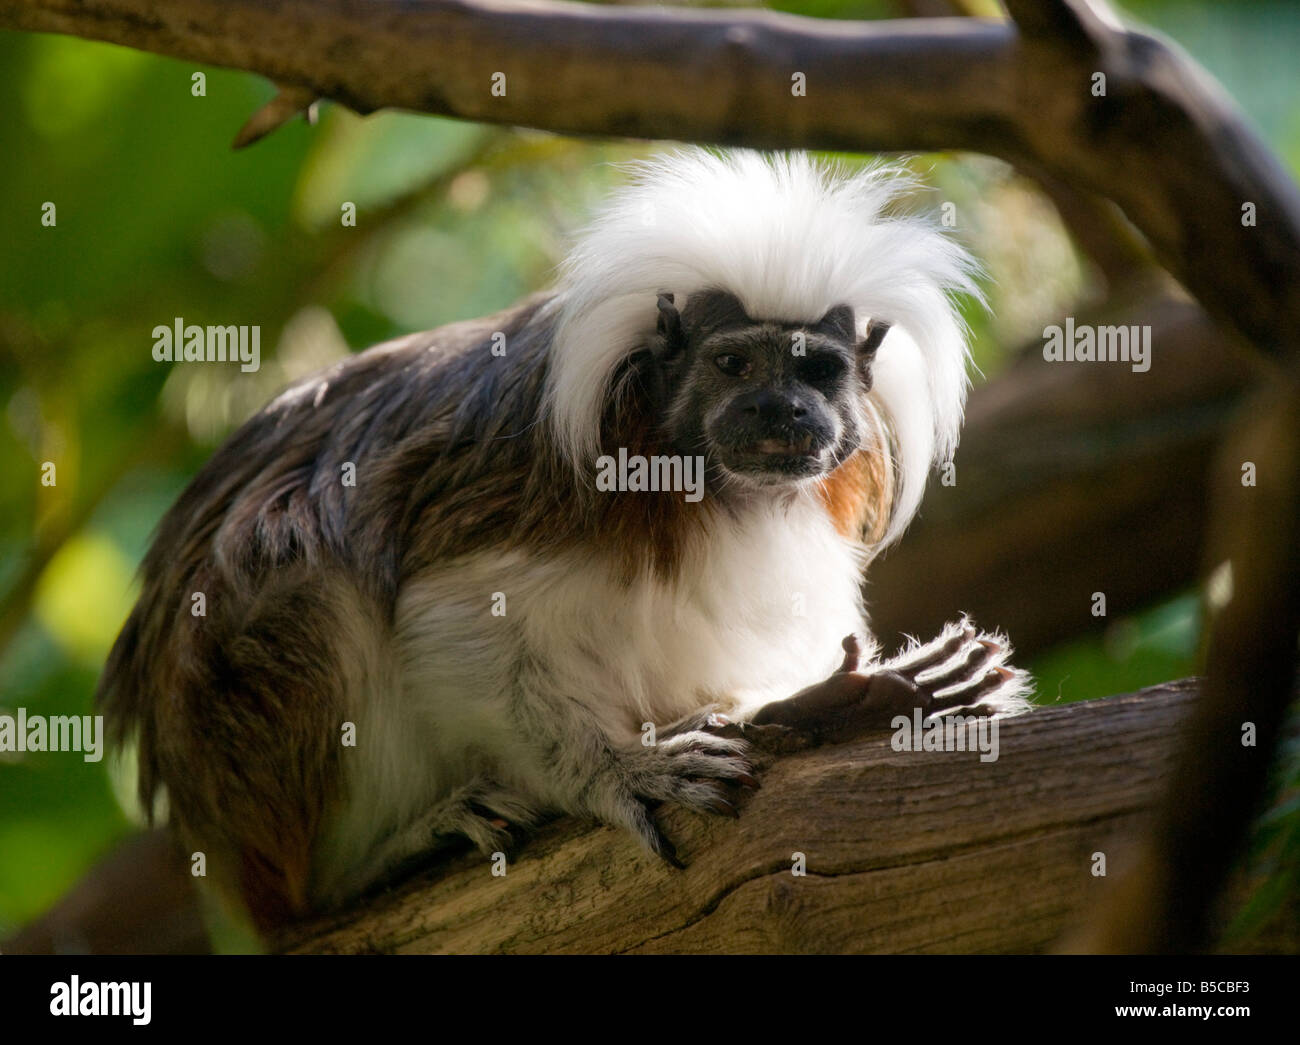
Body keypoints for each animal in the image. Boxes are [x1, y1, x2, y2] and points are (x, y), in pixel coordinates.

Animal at [97, 149, 1032, 933]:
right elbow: (449, 623)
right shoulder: (533, 486)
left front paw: (840, 700)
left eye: (819, 370)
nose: (784, 412)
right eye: (735, 365)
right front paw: (612, 770)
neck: (711, 484)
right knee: (300, 578)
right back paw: (382, 856)